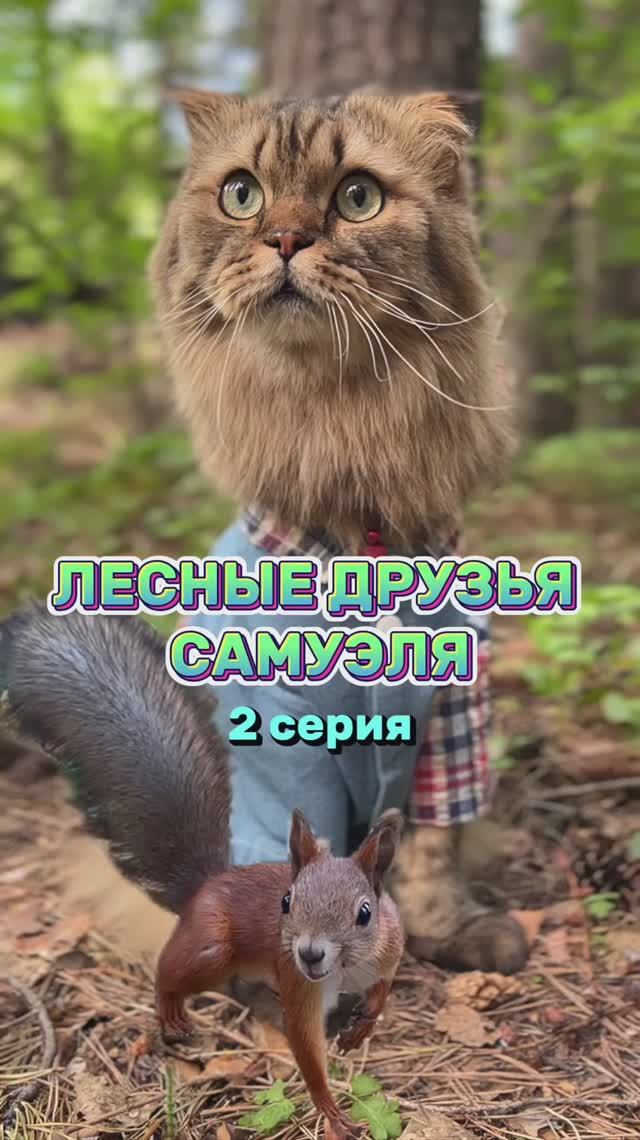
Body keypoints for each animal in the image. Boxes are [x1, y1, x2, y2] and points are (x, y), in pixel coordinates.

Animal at [1, 605, 405, 1139]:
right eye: (287, 902)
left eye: (365, 913)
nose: (310, 952)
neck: (347, 968)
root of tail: (203, 888)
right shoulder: (299, 985)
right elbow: (306, 1050)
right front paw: (332, 1112)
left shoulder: (389, 947)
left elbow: (381, 990)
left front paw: (362, 1029)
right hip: (212, 947)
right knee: (168, 973)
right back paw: (171, 1010)